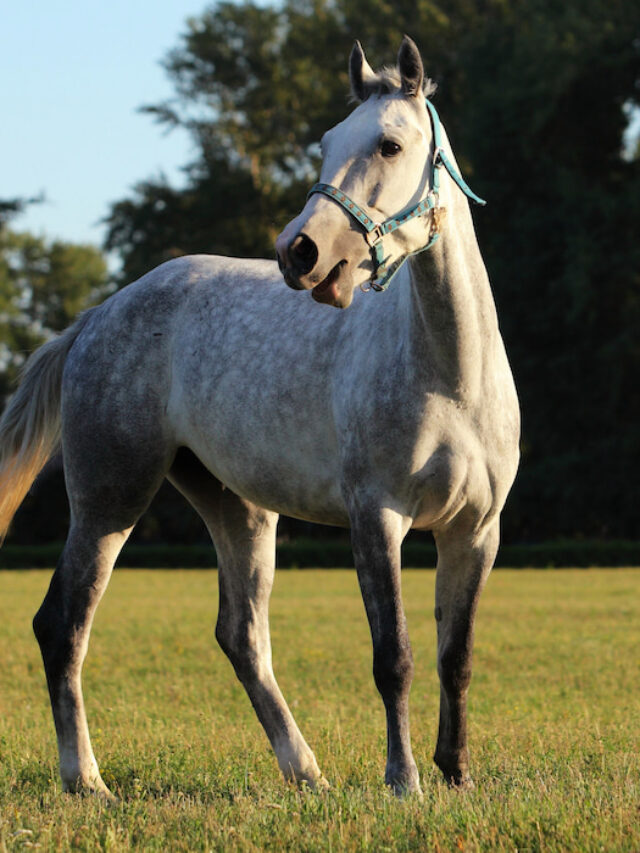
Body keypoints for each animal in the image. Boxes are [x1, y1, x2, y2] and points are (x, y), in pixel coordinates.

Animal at [0, 36, 519, 797]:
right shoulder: (378, 519)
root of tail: (99, 315)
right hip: (108, 502)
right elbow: (393, 656)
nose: (299, 251)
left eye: (390, 144)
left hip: (238, 509)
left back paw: (304, 771)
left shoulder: (476, 531)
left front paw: (456, 774)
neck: (451, 378)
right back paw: (86, 778)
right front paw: (403, 780)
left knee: (241, 636)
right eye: (328, 141)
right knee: (62, 624)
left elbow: (457, 656)